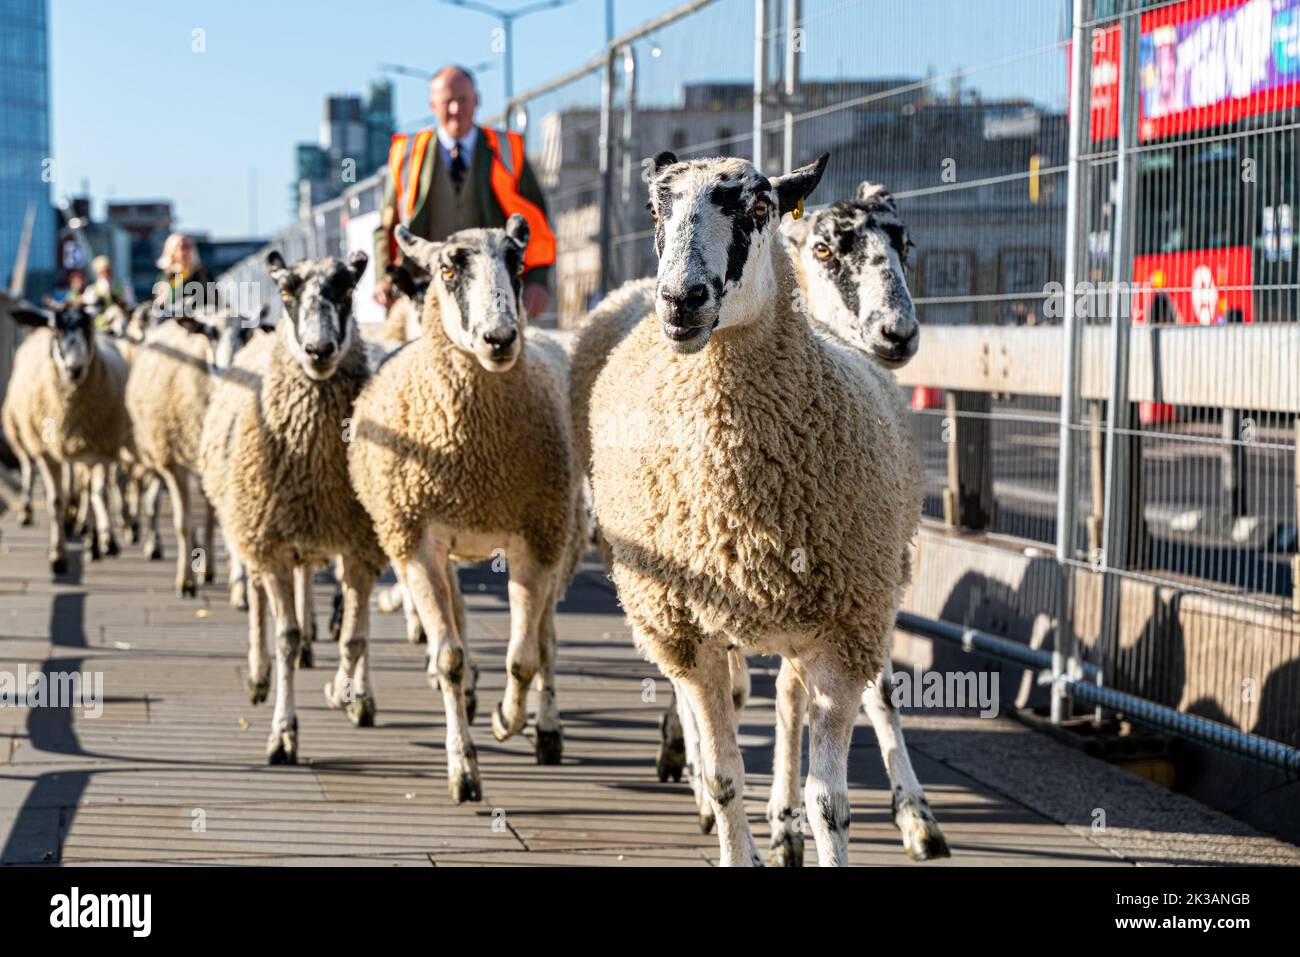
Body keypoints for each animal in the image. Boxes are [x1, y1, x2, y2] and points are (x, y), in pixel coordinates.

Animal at [2, 299, 132, 572]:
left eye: (88, 327)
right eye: (55, 328)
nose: (75, 368)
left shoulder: (97, 450)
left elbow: (96, 494)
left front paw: (97, 544)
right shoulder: (47, 453)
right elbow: (55, 501)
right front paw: (58, 555)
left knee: (89, 490)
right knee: (33, 470)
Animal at [199, 250, 386, 763]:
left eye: (348, 289)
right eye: (286, 292)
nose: (319, 350)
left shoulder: (361, 544)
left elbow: (355, 635)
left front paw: (353, 695)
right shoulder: (273, 543)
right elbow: (283, 636)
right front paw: (283, 733)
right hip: (254, 527)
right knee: (260, 601)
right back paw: (259, 676)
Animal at [347, 216, 585, 803]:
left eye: (517, 263)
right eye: (447, 270)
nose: (500, 339)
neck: (476, 454)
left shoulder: (535, 538)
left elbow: (523, 656)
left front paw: (506, 720)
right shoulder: (416, 542)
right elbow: (450, 656)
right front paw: (464, 768)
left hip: (562, 531)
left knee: (546, 639)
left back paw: (547, 731)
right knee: (457, 618)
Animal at [571, 179, 946, 863]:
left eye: (905, 243)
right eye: (823, 248)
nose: (898, 335)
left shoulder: (862, 589)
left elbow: (854, 702)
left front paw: (903, 815)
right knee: (697, 689)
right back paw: (692, 766)